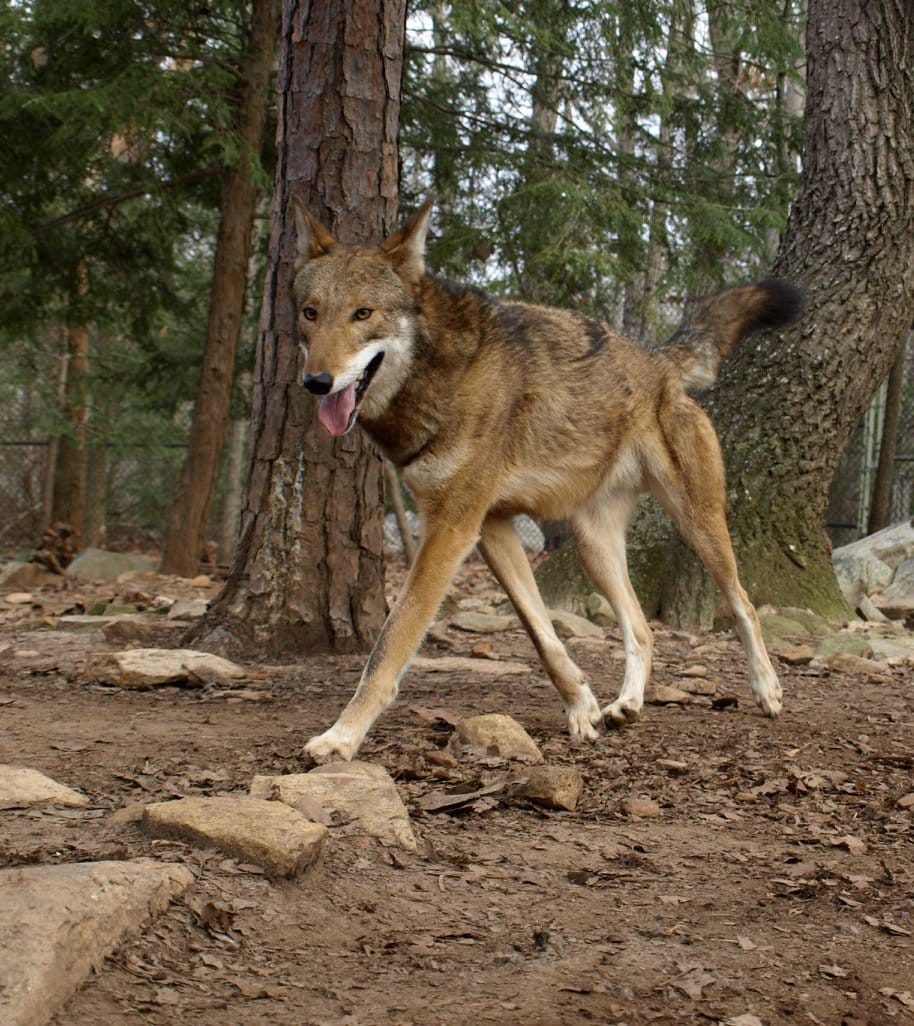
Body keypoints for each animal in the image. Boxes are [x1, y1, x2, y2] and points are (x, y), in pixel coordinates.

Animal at [293, 197, 802, 763]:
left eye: (363, 314)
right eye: (310, 313)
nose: (316, 382)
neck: (443, 370)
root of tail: (660, 361)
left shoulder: (450, 530)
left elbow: (388, 646)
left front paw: (340, 737)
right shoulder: (490, 527)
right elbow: (543, 635)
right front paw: (582, 707)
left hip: (699, 525)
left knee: (743, 603)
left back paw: (767, 690)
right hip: (594, 550)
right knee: (642, 629)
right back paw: (626, 705)